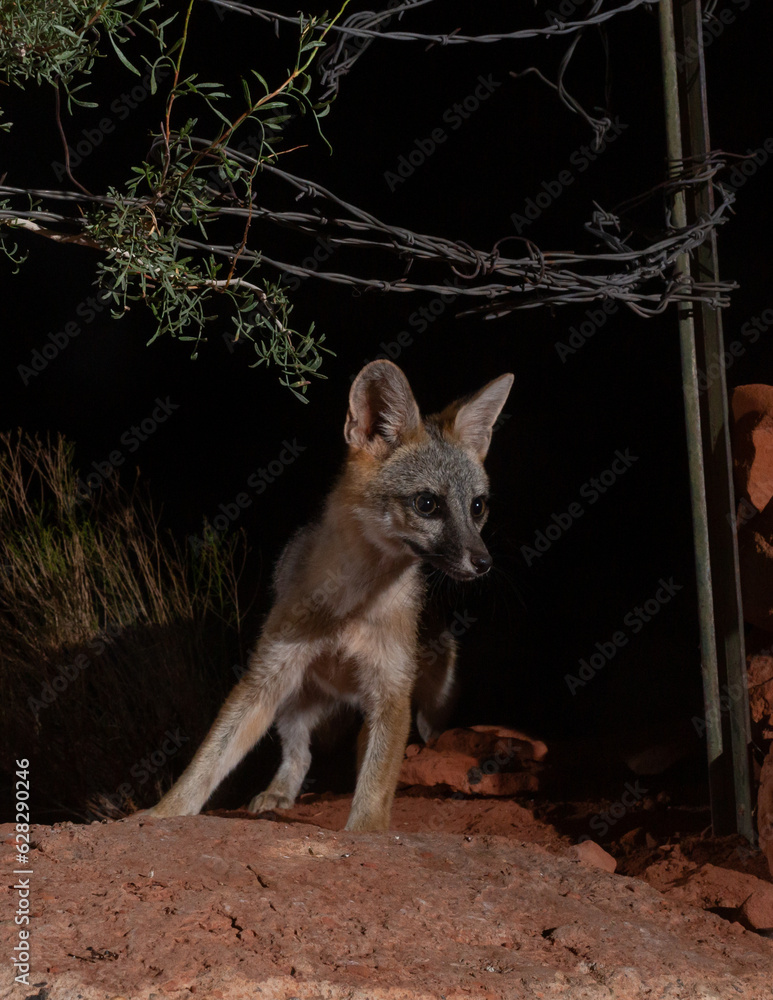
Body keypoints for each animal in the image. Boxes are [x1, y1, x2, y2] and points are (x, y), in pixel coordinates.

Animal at [148, 359, 513, 832]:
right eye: (428, 504)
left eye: (477, 507)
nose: (483, 562)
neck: (354, 606)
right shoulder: (269, 672)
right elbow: (209, 759)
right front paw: (162, 813)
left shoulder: (392, 688)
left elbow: (375, 784)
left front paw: (367, 833)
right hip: (293, 703)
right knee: (300, 756)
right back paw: (279, 792)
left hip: (431, 702)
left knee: (416, 743)